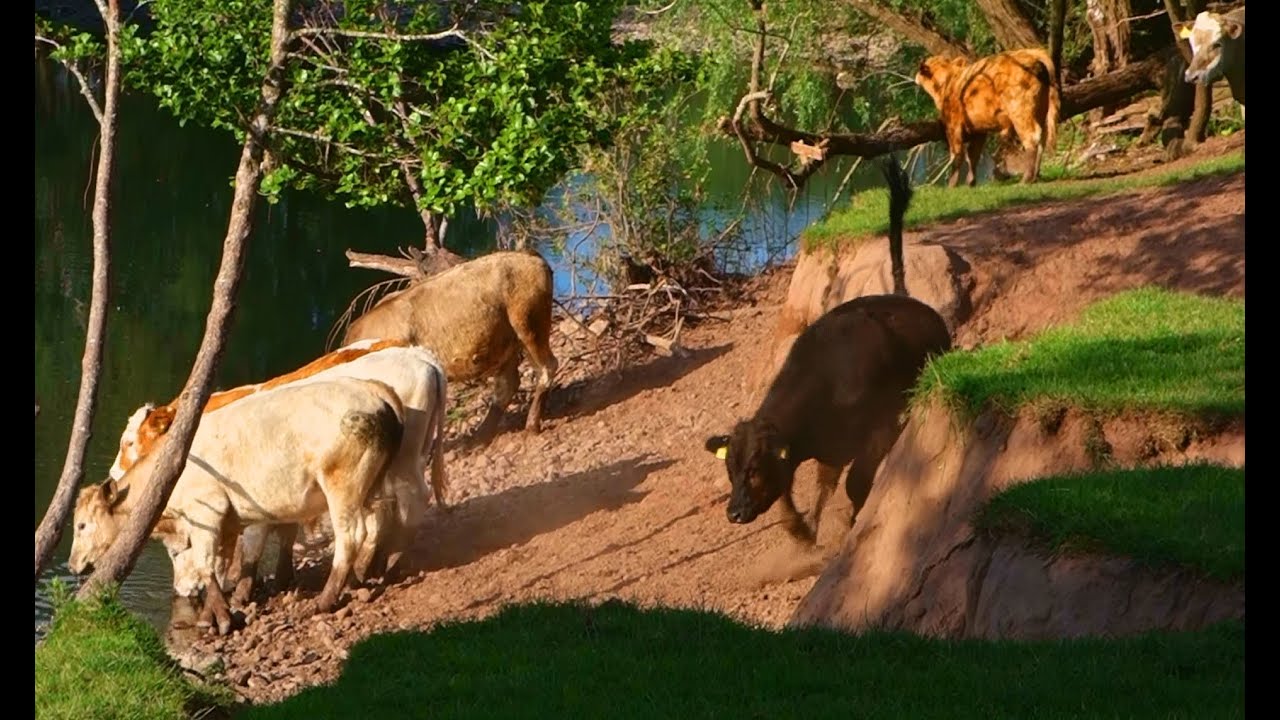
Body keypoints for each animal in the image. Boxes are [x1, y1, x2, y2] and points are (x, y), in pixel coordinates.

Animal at [68, 376, 405, 635]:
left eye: (82, 525)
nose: (71, 564)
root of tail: (372, 388)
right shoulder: (228, 522)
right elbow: (220, 566)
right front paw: (213, 612)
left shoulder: (205, 511)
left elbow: (206, 564)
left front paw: (220, 618)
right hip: (372, 485)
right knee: (379, 522)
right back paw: (359, 578)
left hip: (342, 487)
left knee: (350, 537)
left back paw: (325, 599)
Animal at [102, 340, 450, 601]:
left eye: (128, 442)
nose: (113, 478)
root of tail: (422, 356)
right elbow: (285, 532)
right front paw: (282, 579)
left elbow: (251, 542)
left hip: (401, 463)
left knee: (409, 501)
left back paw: (387, 565)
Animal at [341, 250, 559, 446]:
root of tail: (530, 255)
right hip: (508, 344)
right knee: (507, 384)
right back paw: (480, 436)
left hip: (528, 326)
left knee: (546, 367)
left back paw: (531, 425)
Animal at [915, 47, 1061, 187]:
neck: (948, 83)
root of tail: (1032, 54)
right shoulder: (978, 130)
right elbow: (973, 155)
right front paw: (970, 182)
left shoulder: (953, 127)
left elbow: (957, 154)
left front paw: (952, 185)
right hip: (1041, 112)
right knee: (1042, 140)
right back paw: (1035, 177)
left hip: (1021, 113)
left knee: (1031, 139)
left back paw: (1025, 180)